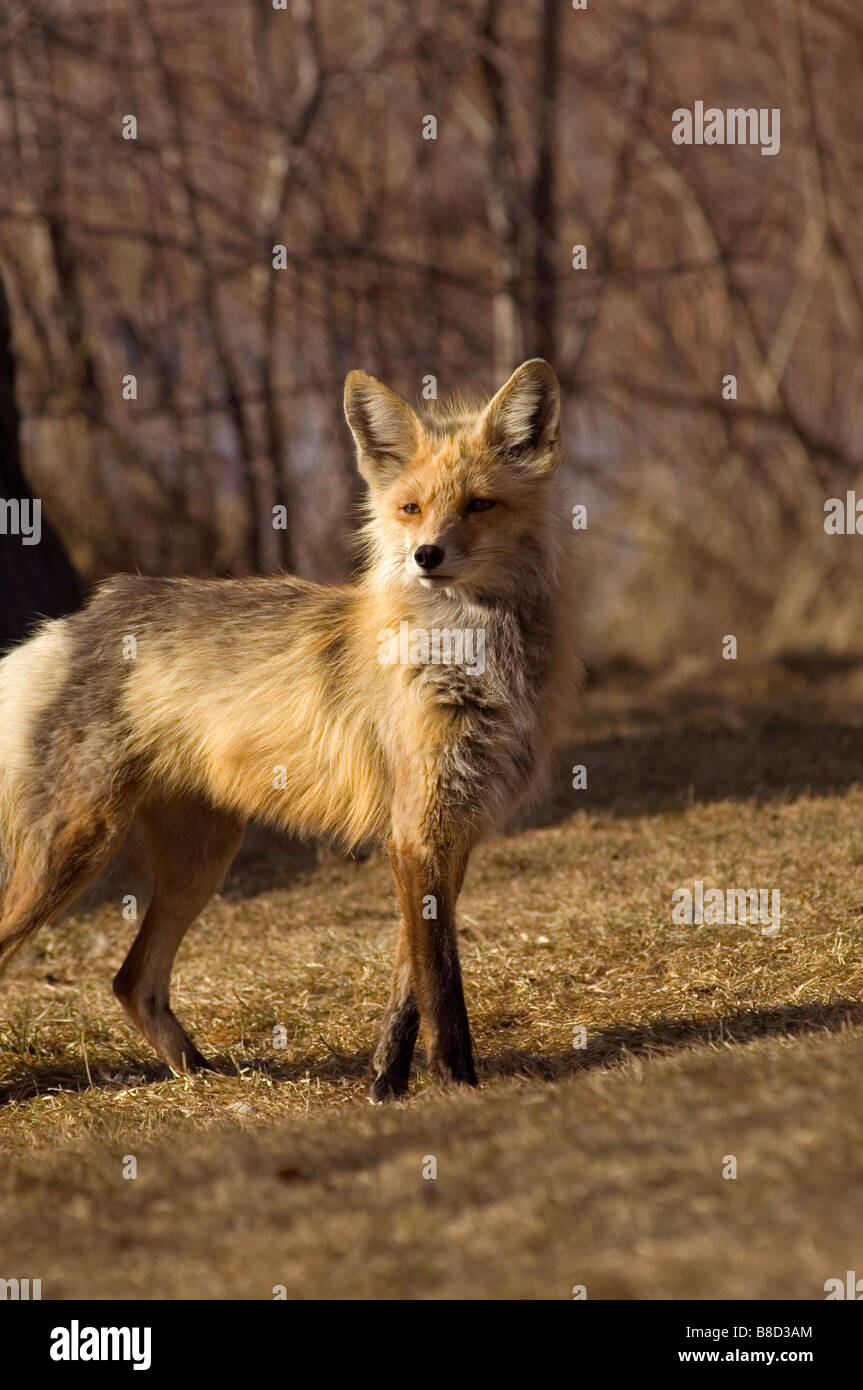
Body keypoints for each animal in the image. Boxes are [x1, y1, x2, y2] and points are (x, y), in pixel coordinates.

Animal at [0, 358, 580, 1099]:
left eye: (479, 505)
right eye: (411, 508)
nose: (426, 555)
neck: (468, 660)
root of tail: (73, 621)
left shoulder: (448, 830)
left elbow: (410, 984)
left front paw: (385, 1085)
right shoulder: (417, 832)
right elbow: (442, 986)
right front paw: (456, 1088)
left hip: (202, 858)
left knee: (132, 982)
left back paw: (202, 1076)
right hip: (75, 850)